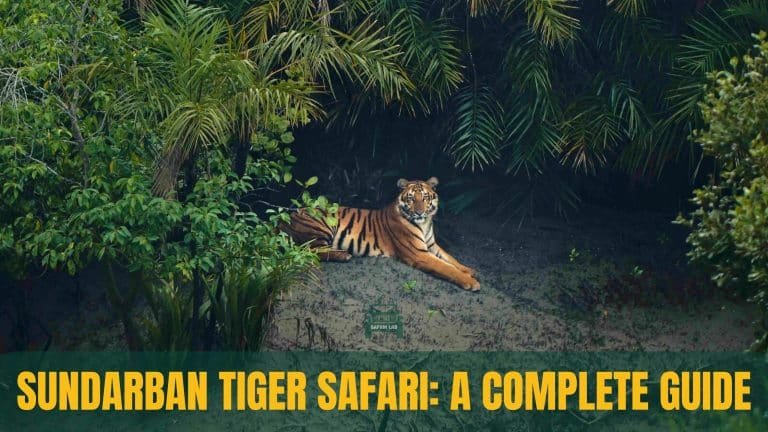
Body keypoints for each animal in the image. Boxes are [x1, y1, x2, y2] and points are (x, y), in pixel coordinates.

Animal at [284, 177, 480, 291]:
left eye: (425, 197)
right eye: (411, 198)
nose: (419, 212)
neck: (424, 224)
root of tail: (288, 215)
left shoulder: (432, 245)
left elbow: (451, 259)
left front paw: (470, 270)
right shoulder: (418, 253)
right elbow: (445, 267)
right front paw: (471, 282)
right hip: (320, 225)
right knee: (309, 251)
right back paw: (343, 256)